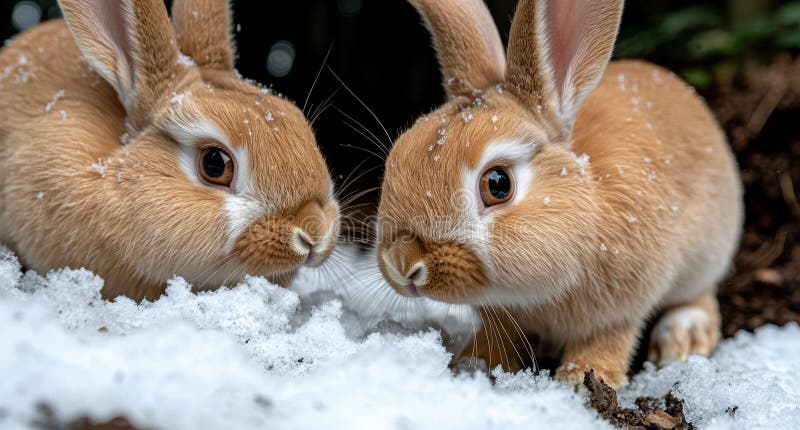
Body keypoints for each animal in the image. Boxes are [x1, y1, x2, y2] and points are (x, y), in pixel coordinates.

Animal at [376, 0, 743, 388]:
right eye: (397, 156)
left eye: (497, 184)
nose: (401, 263)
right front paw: (476, 363)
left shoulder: (619, 308)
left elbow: (607, 340)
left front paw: (580, 381)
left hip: (707, 254)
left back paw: (684, 337)